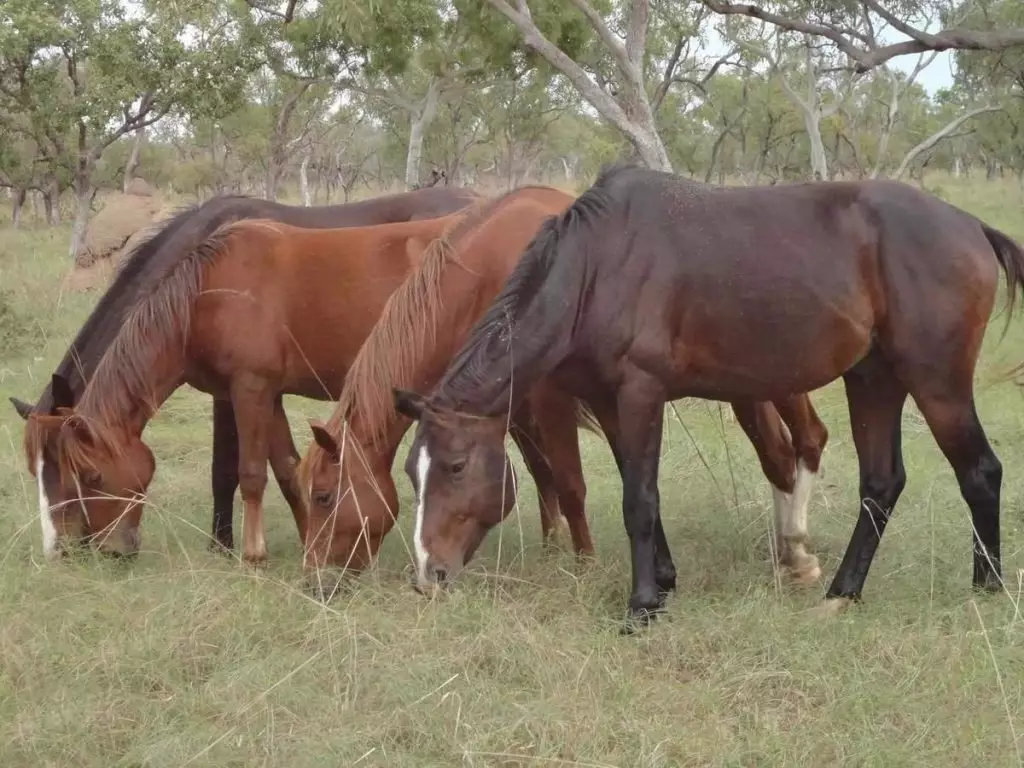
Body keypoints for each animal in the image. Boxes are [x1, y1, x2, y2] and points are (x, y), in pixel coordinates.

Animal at [301, 182, 831, 593]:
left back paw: (799, 556)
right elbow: (551, 473)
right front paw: (557, 546)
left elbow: (570, 480)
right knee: (779, 455)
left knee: (805, 443)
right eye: (410, 474)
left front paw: (584, 562)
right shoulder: (520, 405)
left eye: (324, 497)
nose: (316, 578)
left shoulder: (552, 397)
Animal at [393, 163, 1024, 630]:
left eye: (455, 466)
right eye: (411, 472)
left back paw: (985, 587)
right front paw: (665, 581)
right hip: (874, 379)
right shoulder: (612, 400)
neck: (599, 263)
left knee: (979, 471)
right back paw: (842, 594)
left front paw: (642, 606)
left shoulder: (641, 392)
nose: (427, 575)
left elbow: (639, 500)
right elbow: (639, 492)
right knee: (881, 484)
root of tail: (971, 226)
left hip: (936, 382)